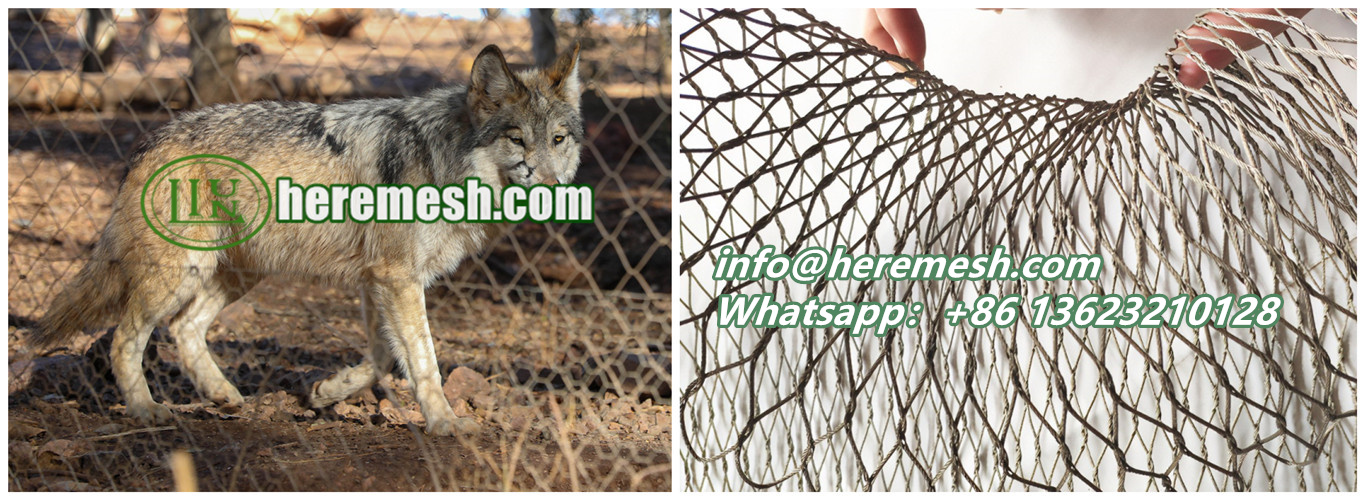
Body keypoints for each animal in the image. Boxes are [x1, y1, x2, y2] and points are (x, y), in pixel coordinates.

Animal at [34, 44, 583, 436]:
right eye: (517, 139)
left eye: (558, 140)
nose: (555, 188)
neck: (444, 159)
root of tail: (154, 136)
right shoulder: (396, 278)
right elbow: (425, 361)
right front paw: (445, 423)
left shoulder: (378, 281)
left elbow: (384, 358)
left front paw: (326, 392)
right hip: (182, 271)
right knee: (126, 337)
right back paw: (146, 409)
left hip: (237, 274)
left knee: (185, 328)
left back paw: (225, 397)